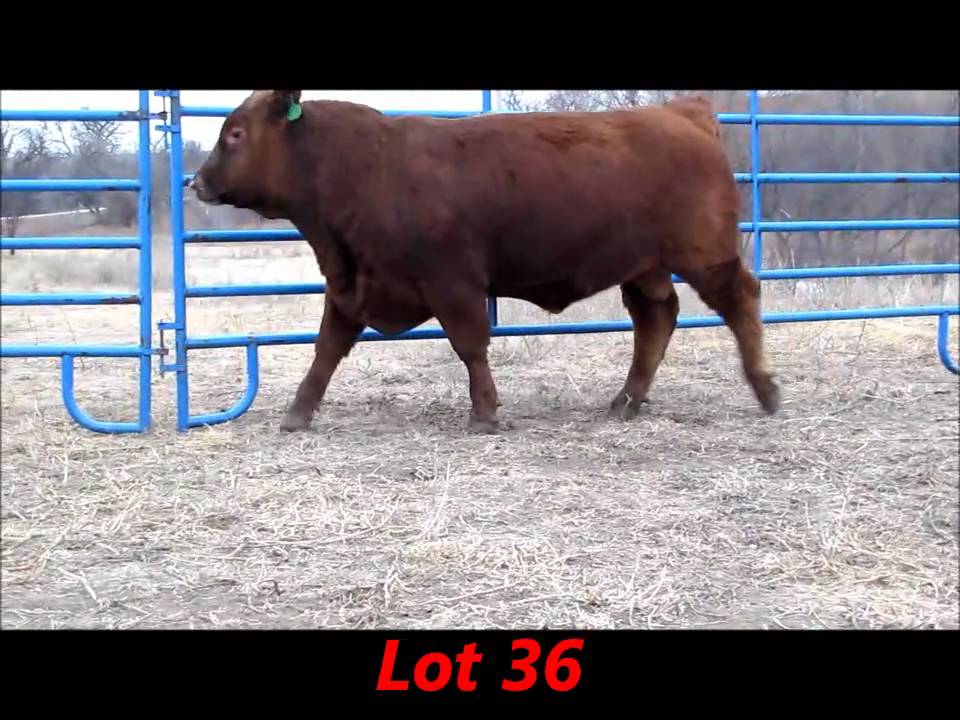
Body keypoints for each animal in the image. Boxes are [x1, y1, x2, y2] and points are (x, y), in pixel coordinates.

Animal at [190, 90, 781, 433]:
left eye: (235, 133)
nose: (197, 182)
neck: (362, 168)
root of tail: (680, 112)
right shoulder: (350, 284)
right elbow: (326, 350)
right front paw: (297, 413)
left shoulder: (452, 283)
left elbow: (470, 345)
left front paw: (484, 412)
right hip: (644, 266)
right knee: (656, 319)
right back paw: (627, 400)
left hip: (704, 252)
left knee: (740, 300)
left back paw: (765, 389)